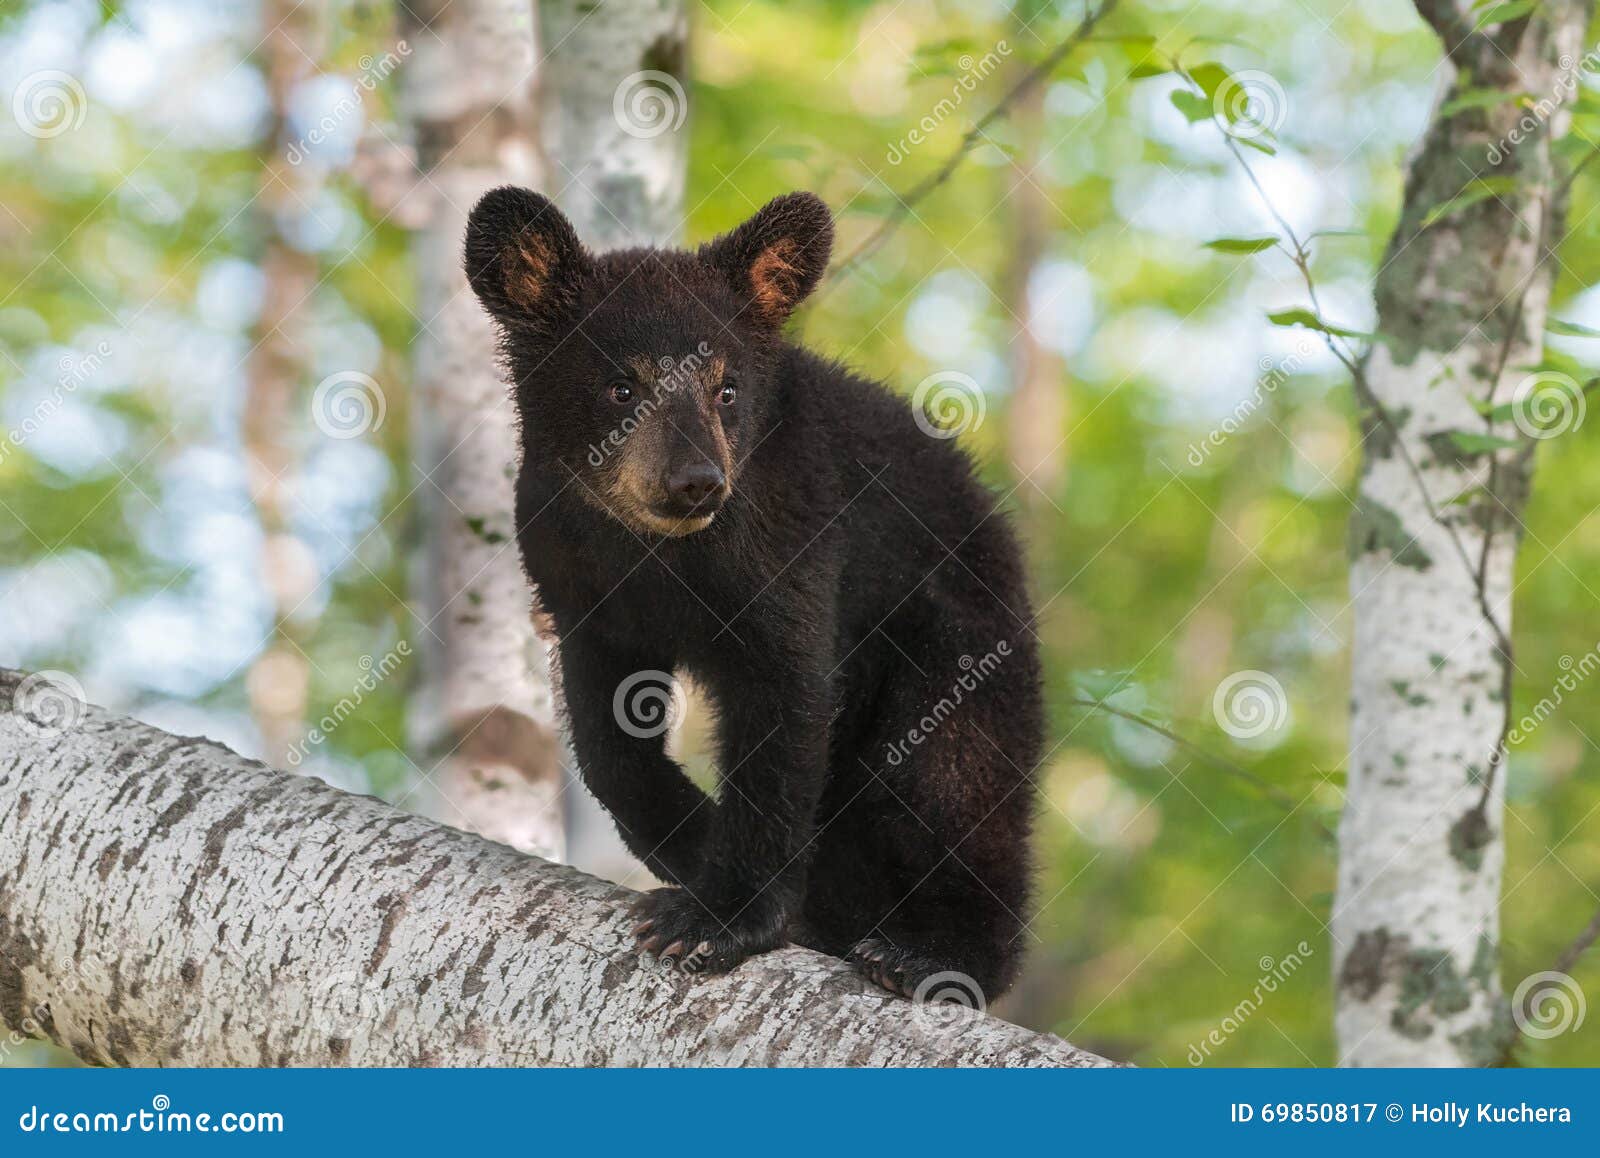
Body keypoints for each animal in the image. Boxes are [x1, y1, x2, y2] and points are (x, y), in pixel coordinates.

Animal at [463, 187, 1043, 1003]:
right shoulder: (573, 580)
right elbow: (608, 740)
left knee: (956, 775)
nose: (696, 481)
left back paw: (932, 956)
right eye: (621, 386)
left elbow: (785, 701)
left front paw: (721, 917)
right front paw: (695, 838)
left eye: (726, 389)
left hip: (960, 637)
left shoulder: (790, 539)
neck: (656, 553)